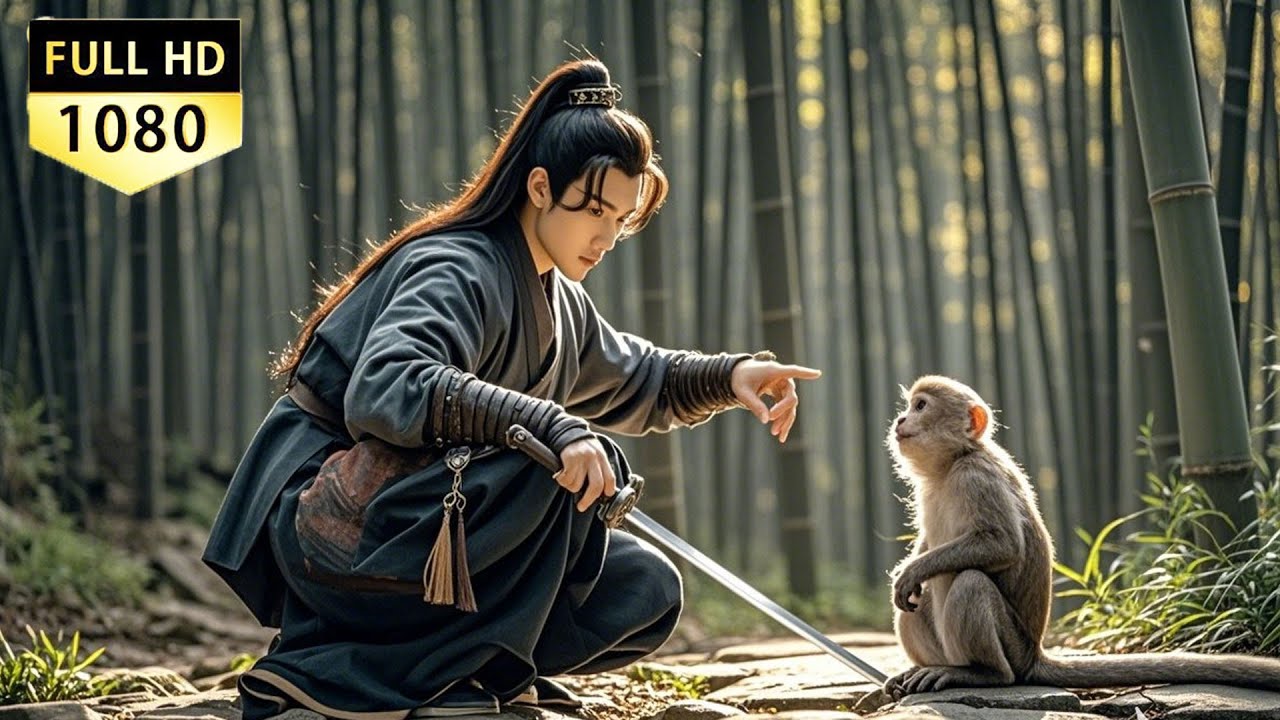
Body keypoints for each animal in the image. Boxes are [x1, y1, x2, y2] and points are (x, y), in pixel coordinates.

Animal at [883, 374, 1280, 699]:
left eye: (921, 406)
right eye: (910, 406)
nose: (901, 420)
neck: (951, 463)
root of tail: (1034, 655)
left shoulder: (977, 477)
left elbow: (1003, 544)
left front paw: (914, 569)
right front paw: (908, 568)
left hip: (1013, 647)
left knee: (969, 582)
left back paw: (982, 673)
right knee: (920, 598)